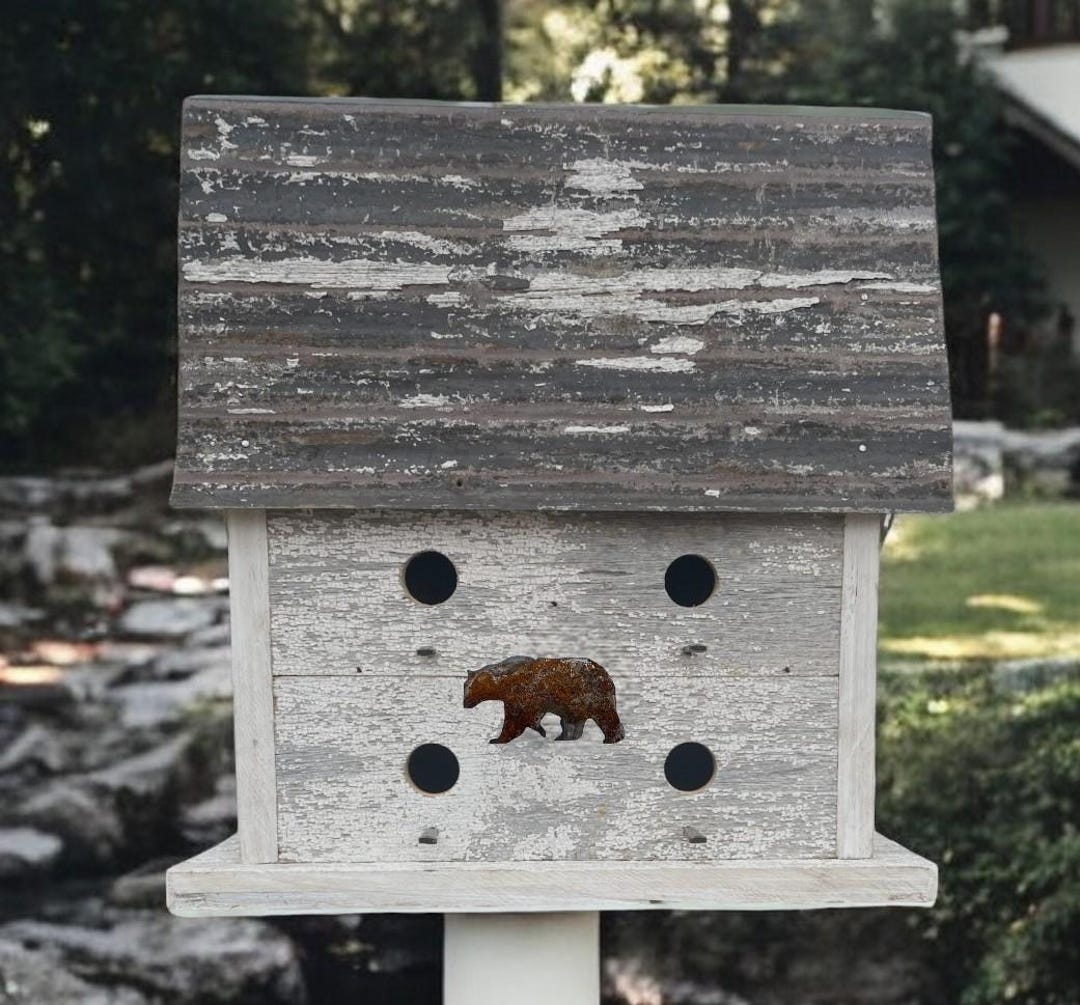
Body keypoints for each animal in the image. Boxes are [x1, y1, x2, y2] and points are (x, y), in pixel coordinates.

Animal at [463, 655, 624, 744]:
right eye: (465, 686)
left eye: (468, 689)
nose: (465, 704)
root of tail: (606, 674)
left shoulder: (523, 693)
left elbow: (516, 719)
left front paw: (497, 739)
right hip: (572, 704)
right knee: (570, 722)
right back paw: (564, 737)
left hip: (592, 695)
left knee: (605, 716)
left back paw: (611, 738)